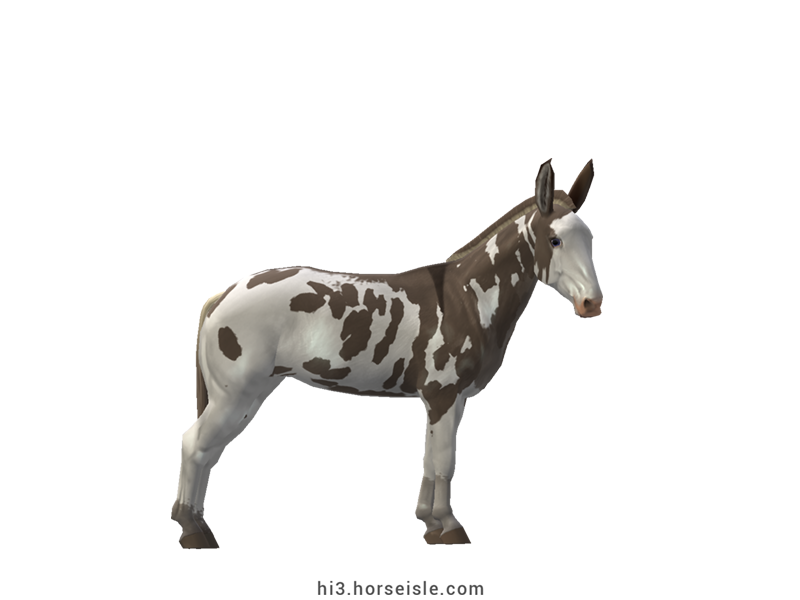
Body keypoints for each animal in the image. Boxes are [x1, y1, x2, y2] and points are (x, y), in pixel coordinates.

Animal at [172, 162, 602, 548]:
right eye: (555, 240)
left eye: (588, 236)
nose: (590, 303)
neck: (468, 298)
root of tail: (222, 298)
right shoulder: (444, 396)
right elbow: (445, 459)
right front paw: (450, 526)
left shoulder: (444, 400)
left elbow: (430, 459)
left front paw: (427, 522)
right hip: (233, 398)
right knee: (194, 446)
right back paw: (191, 531)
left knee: (201, 451)